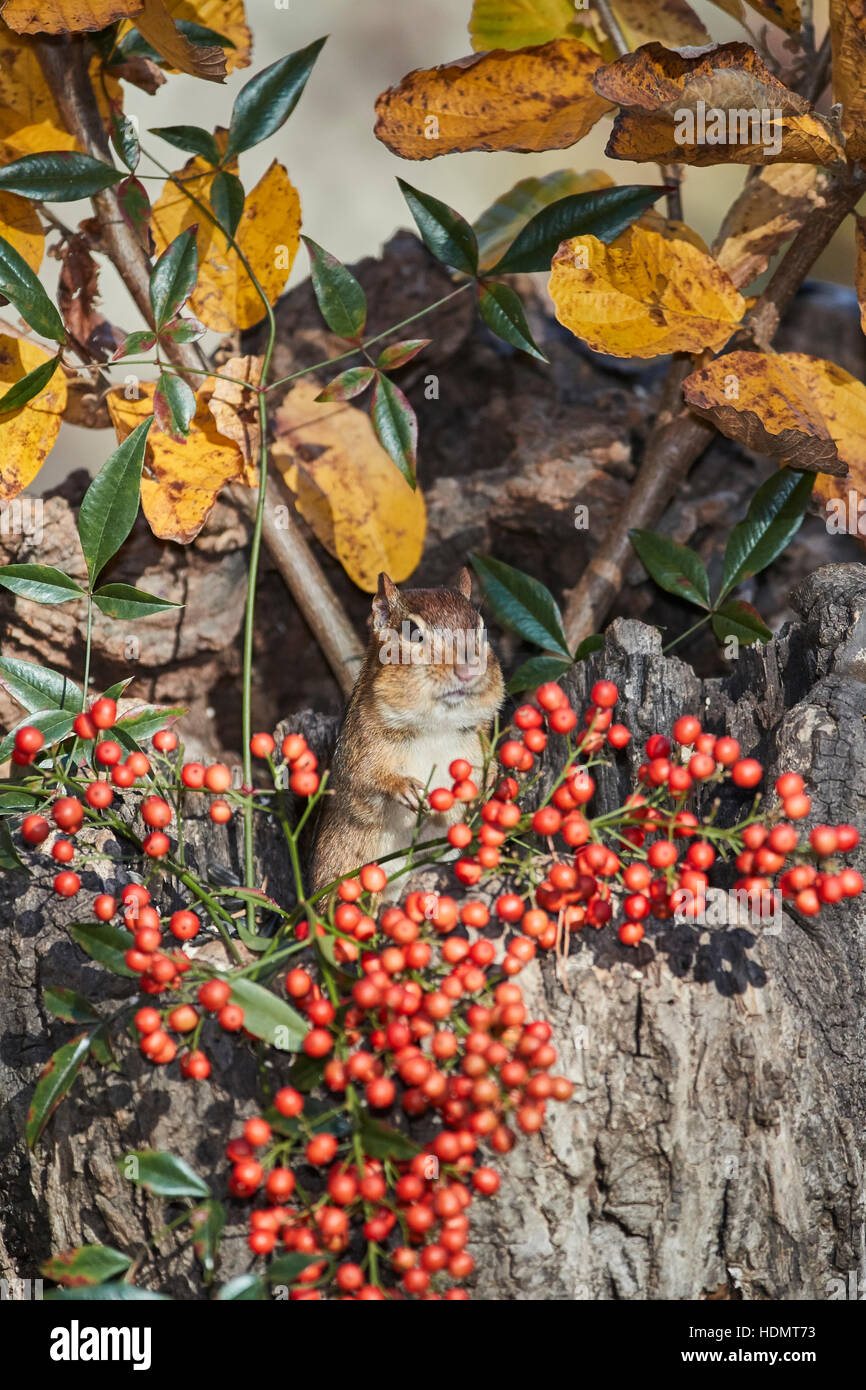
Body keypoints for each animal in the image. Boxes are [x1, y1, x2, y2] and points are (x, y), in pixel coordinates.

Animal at [311, 568, 504, 897]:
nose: (469, 670)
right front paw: (401, 786)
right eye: (412, 632)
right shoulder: (357, 750)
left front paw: (492, 776)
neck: (437, 728)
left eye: (482, 629)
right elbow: (363, 779)